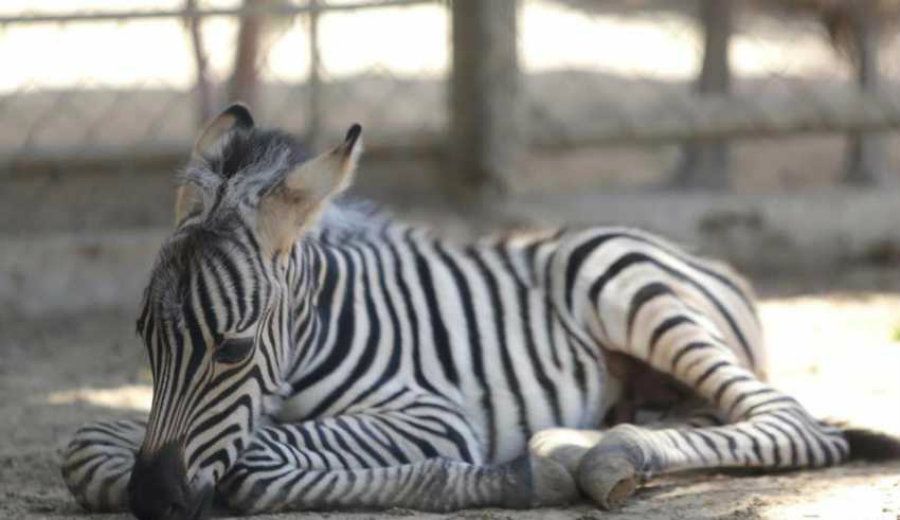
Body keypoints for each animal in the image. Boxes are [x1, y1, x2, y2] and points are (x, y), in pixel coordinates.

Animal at [61, 104, 899, 519]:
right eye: (144, 338)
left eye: (231, 350)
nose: (153, 502)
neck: (308, 339)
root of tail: (700, 255)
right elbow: (87, 446)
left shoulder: (432, 416)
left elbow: (257, 466)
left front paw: (517, 480)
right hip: (653, 381)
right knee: (711, 418)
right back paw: (583, 444)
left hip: (624, 286)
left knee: (793, 423)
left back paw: (602, 460)